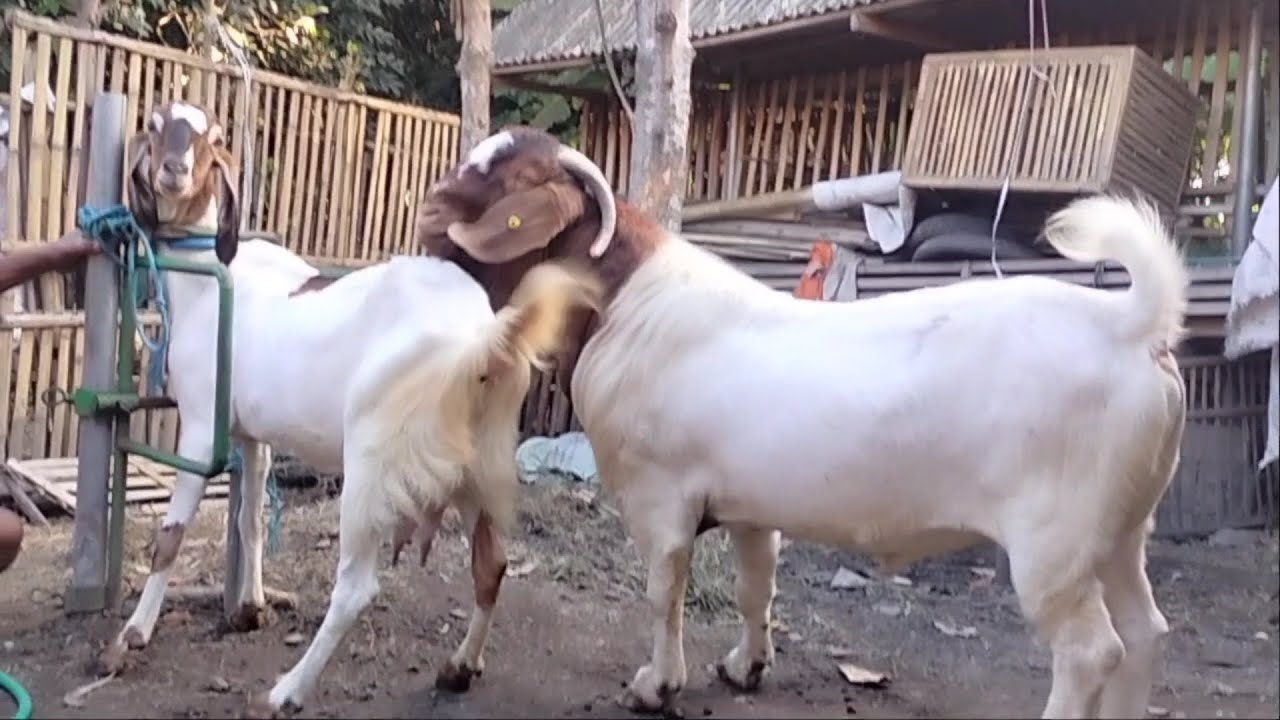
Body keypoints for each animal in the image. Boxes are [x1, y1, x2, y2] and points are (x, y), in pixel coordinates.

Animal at [99, 105, 602, 716]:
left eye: (213, 139)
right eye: (153, 124)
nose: (174, 170)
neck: (208, 285)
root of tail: (485, 337)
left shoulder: (199, 425)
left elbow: (171, 536)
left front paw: (132, 634)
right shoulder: (252, 434)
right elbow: (249, 520)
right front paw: (250, 605)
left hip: (372, 461)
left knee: (359, 587)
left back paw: (288, 690)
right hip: (481, 463)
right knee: (493, 565)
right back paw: (458, 668)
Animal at [415, 126, 1189, 719]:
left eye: (495, 175)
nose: (426, 213)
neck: (628, 302)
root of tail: (1129, 326)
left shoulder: (658, 496)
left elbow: (664, 590)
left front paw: (655, 686)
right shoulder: (750, 506)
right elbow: (757, 584)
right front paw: (745, 666)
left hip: (1055, 541)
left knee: (1091, 649)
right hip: (1120, 529)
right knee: (1145, 630)